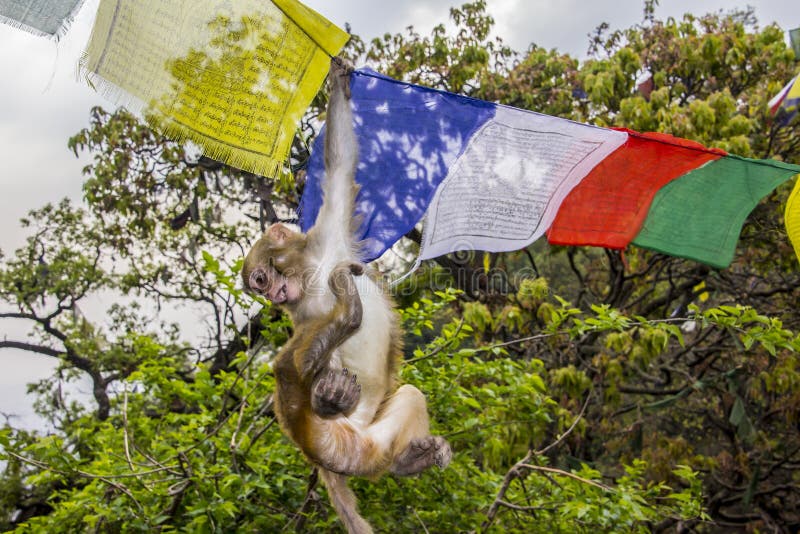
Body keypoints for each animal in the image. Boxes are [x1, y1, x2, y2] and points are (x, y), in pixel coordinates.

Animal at [242, 58, 451, 533]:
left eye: (261, 279)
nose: (273, 295)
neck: (313, 273)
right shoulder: (302, 314)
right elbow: (303, 352)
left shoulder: (330, 228)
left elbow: (340, 164)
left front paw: (339, 81)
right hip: (333, 440)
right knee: (296, 373)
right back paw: (331, 391)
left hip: (367, 440)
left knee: (407, 399)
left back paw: (404, 462)